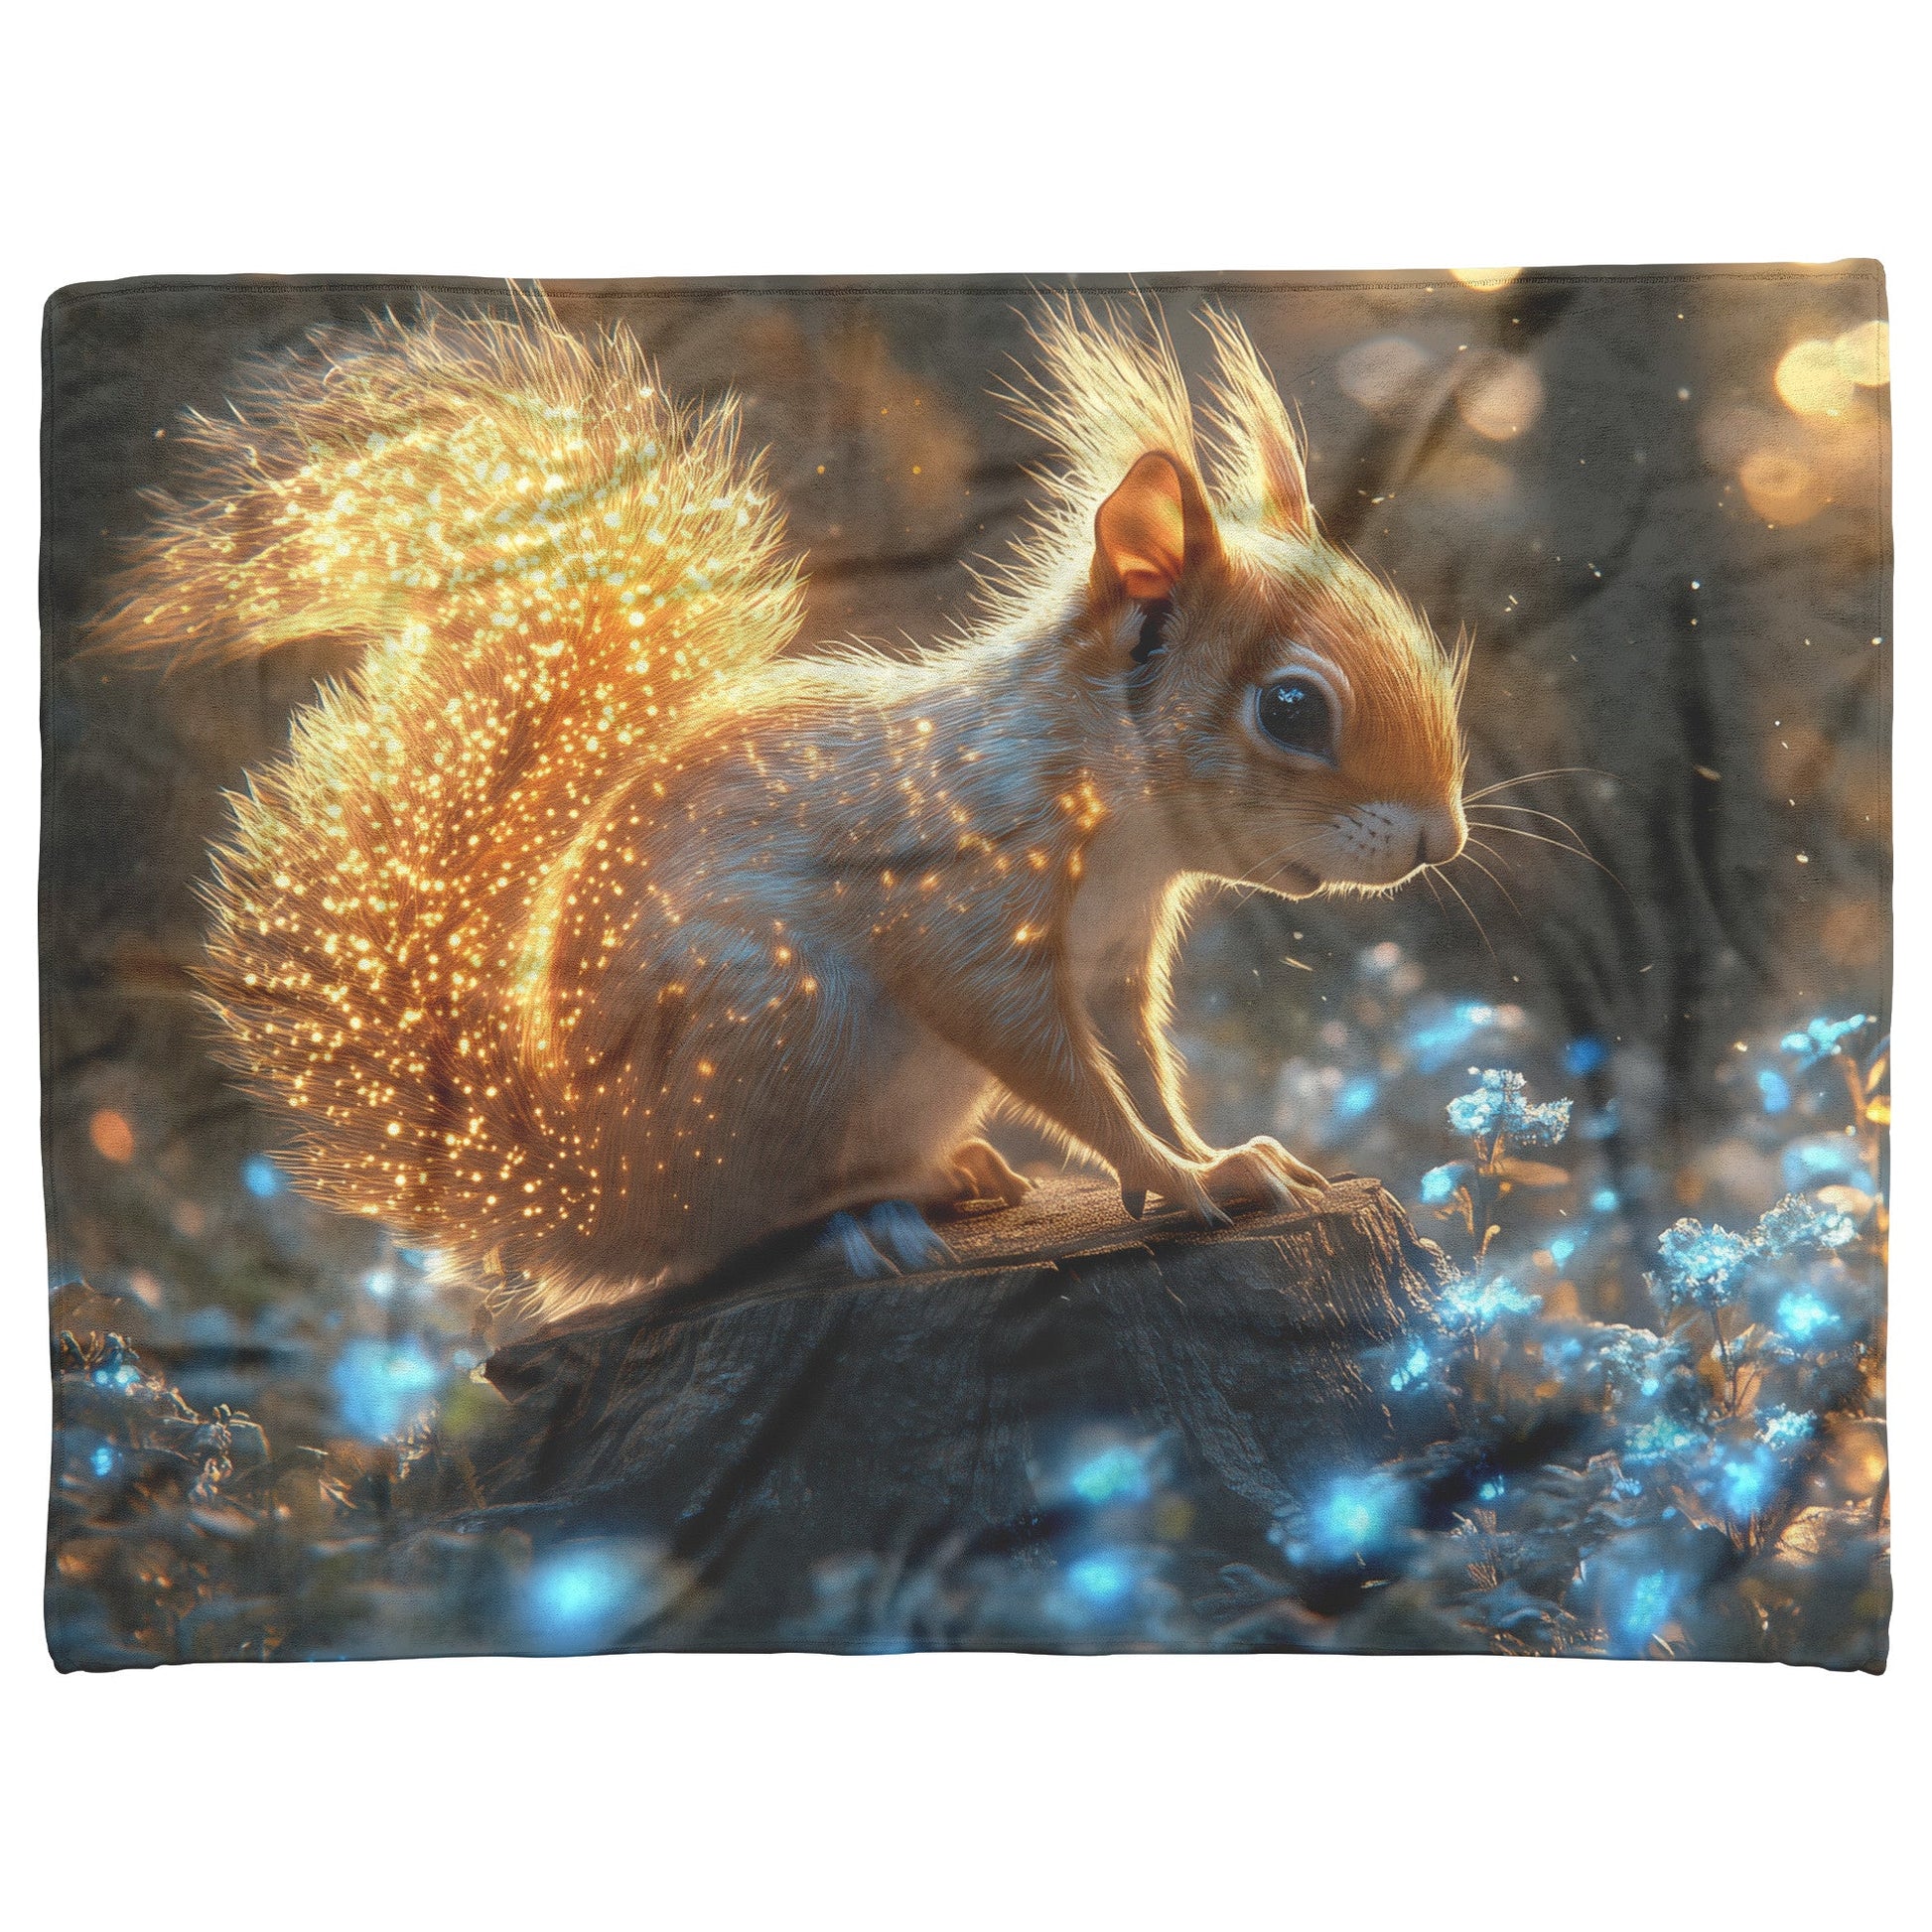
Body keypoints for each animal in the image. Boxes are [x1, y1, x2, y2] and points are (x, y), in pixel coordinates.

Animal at [95, 291, 1468, 1320]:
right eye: (1290, 708)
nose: (1439, 837)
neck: (1113, 812)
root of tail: (574, 1190)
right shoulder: (968, 907)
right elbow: (1061, 1072)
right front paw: (1170, 1177)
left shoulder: (1121, 957)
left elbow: (1136, 1059)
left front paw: (1220, 1151)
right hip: (765, 1029)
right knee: (720, 1238)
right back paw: (860, 1230)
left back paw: (951, 1176)